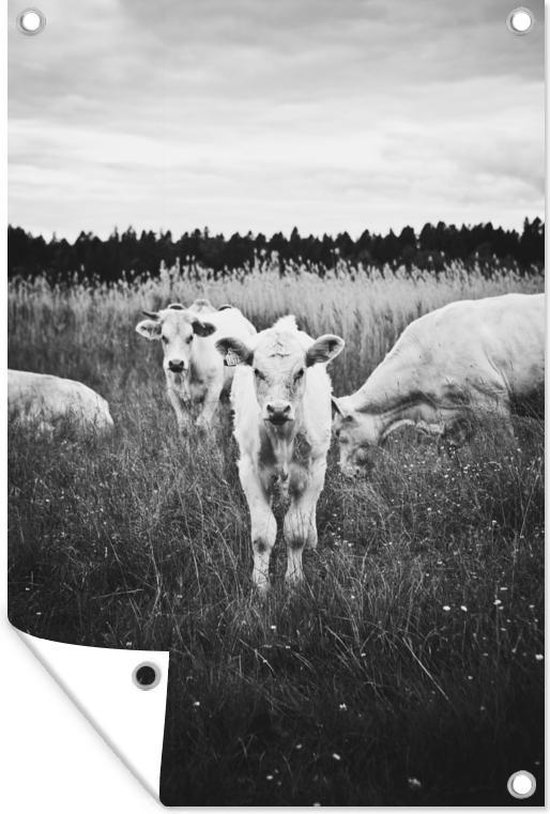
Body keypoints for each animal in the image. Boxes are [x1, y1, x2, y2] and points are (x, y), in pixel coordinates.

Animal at [135, 299, 256, 430]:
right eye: (164, 337)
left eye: (190, 337)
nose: (176, 363)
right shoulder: (173, 393)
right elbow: (184, 424)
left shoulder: (213, 392)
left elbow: (203, 424)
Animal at [214, 315, 345, 593]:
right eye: (257, 371)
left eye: (300, 372)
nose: (277, 409)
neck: (282, 437)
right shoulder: (250, 473)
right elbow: (262, 535)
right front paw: (261, 585)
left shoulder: (312, 473)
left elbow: (295, 532)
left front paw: (294, 581)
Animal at [332, 292, 544, 477]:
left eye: (338, 434)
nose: (345, 473)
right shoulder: (454, 415)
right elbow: (446, 451)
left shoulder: (492, 400)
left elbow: (508, 449)